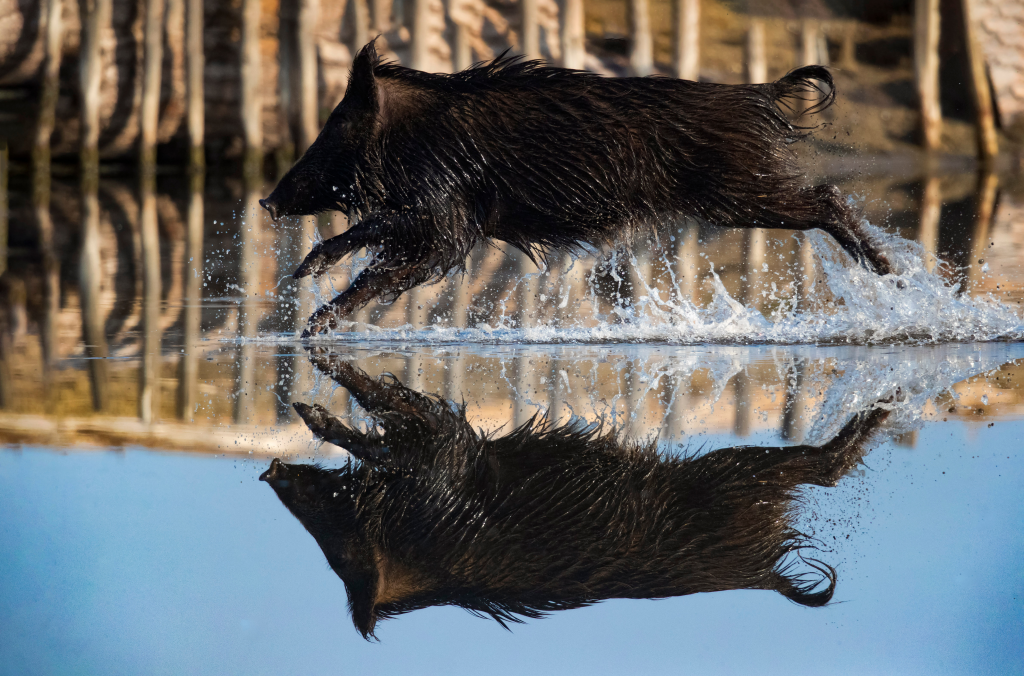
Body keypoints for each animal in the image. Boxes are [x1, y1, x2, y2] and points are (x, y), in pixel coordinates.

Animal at [261, 41, 892, 336]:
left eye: (338, 124)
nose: (267, 200)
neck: (417, 134)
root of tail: (756, 94)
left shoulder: (448, 213)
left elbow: (390, 243)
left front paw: (309, 301)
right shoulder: (443, 220)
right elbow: (379, 250)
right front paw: (309, 301)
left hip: (739, 189)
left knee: (828, 199)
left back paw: (893, 280)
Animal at [261, 350, 890, 638]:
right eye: (339, 554)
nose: (270, 470)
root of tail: (761, 574)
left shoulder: (445, 465)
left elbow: (388, 423)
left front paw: (311, 403)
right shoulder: (446, 463)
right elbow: (400, 421)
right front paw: (316, 397)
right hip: (732, 479)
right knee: (822, 468)